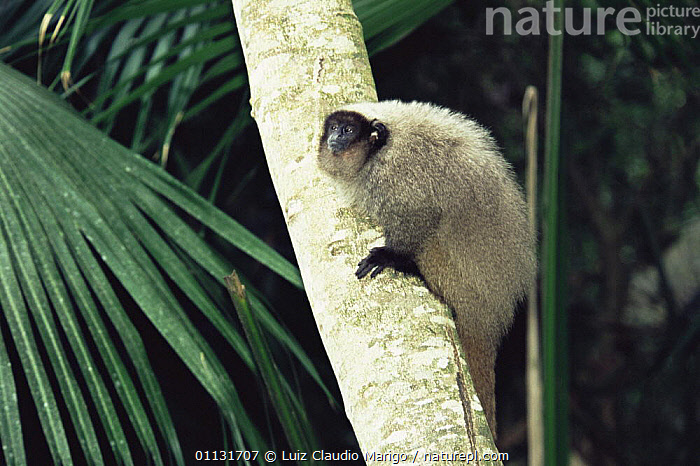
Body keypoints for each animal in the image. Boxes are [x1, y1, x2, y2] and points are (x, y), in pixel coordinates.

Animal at [317, 100, 537, 440]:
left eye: (349, 130)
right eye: (334, 127)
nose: (334, 138)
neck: (377, 149)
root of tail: (490, 318)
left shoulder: (395, 174)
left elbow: (422, 216)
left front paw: (393, 256)